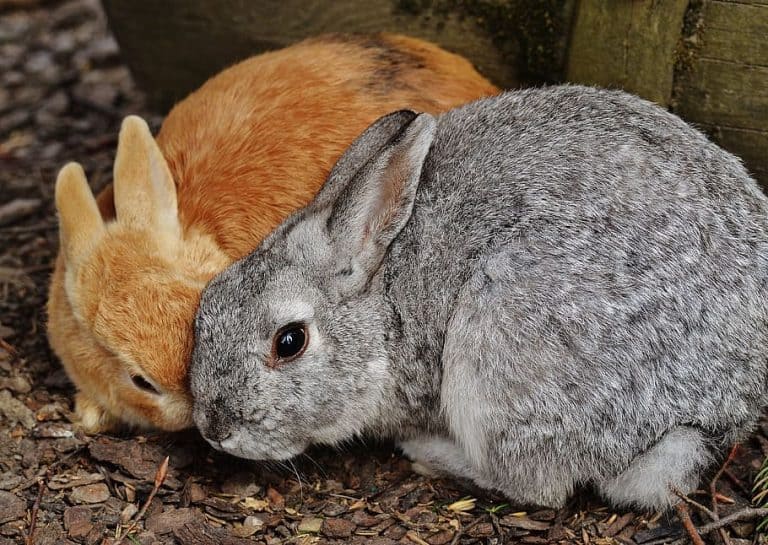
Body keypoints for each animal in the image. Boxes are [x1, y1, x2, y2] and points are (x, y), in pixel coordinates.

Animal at [189, 85, 768, 510]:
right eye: (206, 309)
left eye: (289, 341)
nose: (214, 428)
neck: (385, 304)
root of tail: (713, 414)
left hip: (499, 349)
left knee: (536, 484)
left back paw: (428, 452)